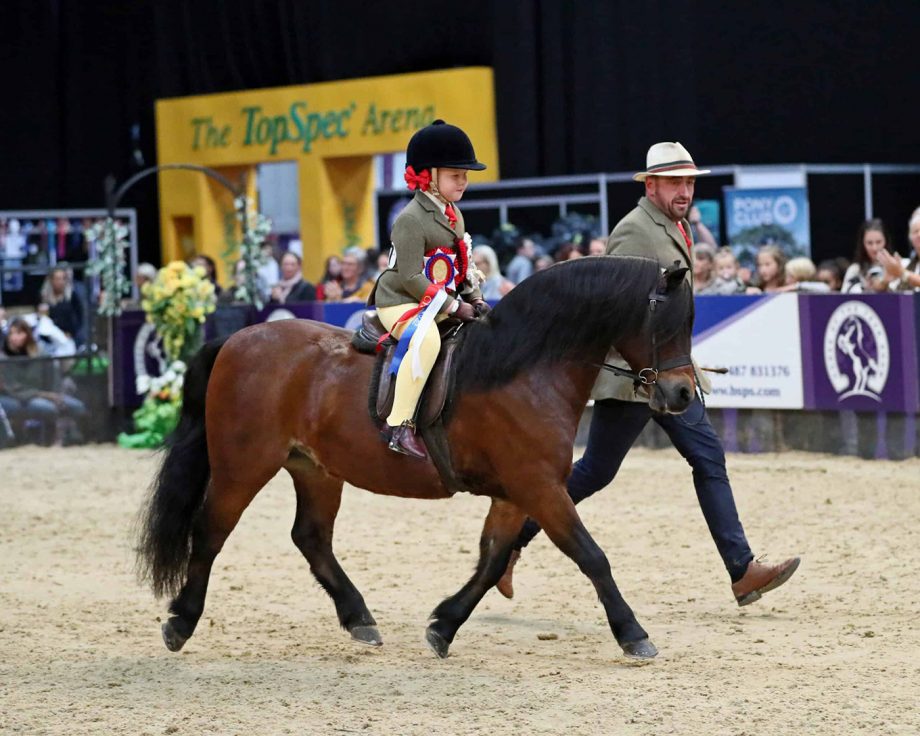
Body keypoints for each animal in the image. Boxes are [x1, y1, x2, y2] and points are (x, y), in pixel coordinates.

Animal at [137, 255, 696, 661]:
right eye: (666, 324)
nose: (683, 394)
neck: (525, 369)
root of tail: (236, 338)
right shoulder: (539, 486)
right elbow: (591, 555)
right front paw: (633, 633)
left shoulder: (517, 493)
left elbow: (493, 559)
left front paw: (444, 625)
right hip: (244, 464)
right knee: (211, 529)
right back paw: (181, 621)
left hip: (315, 468)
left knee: (311, 537)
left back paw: (359, 619)